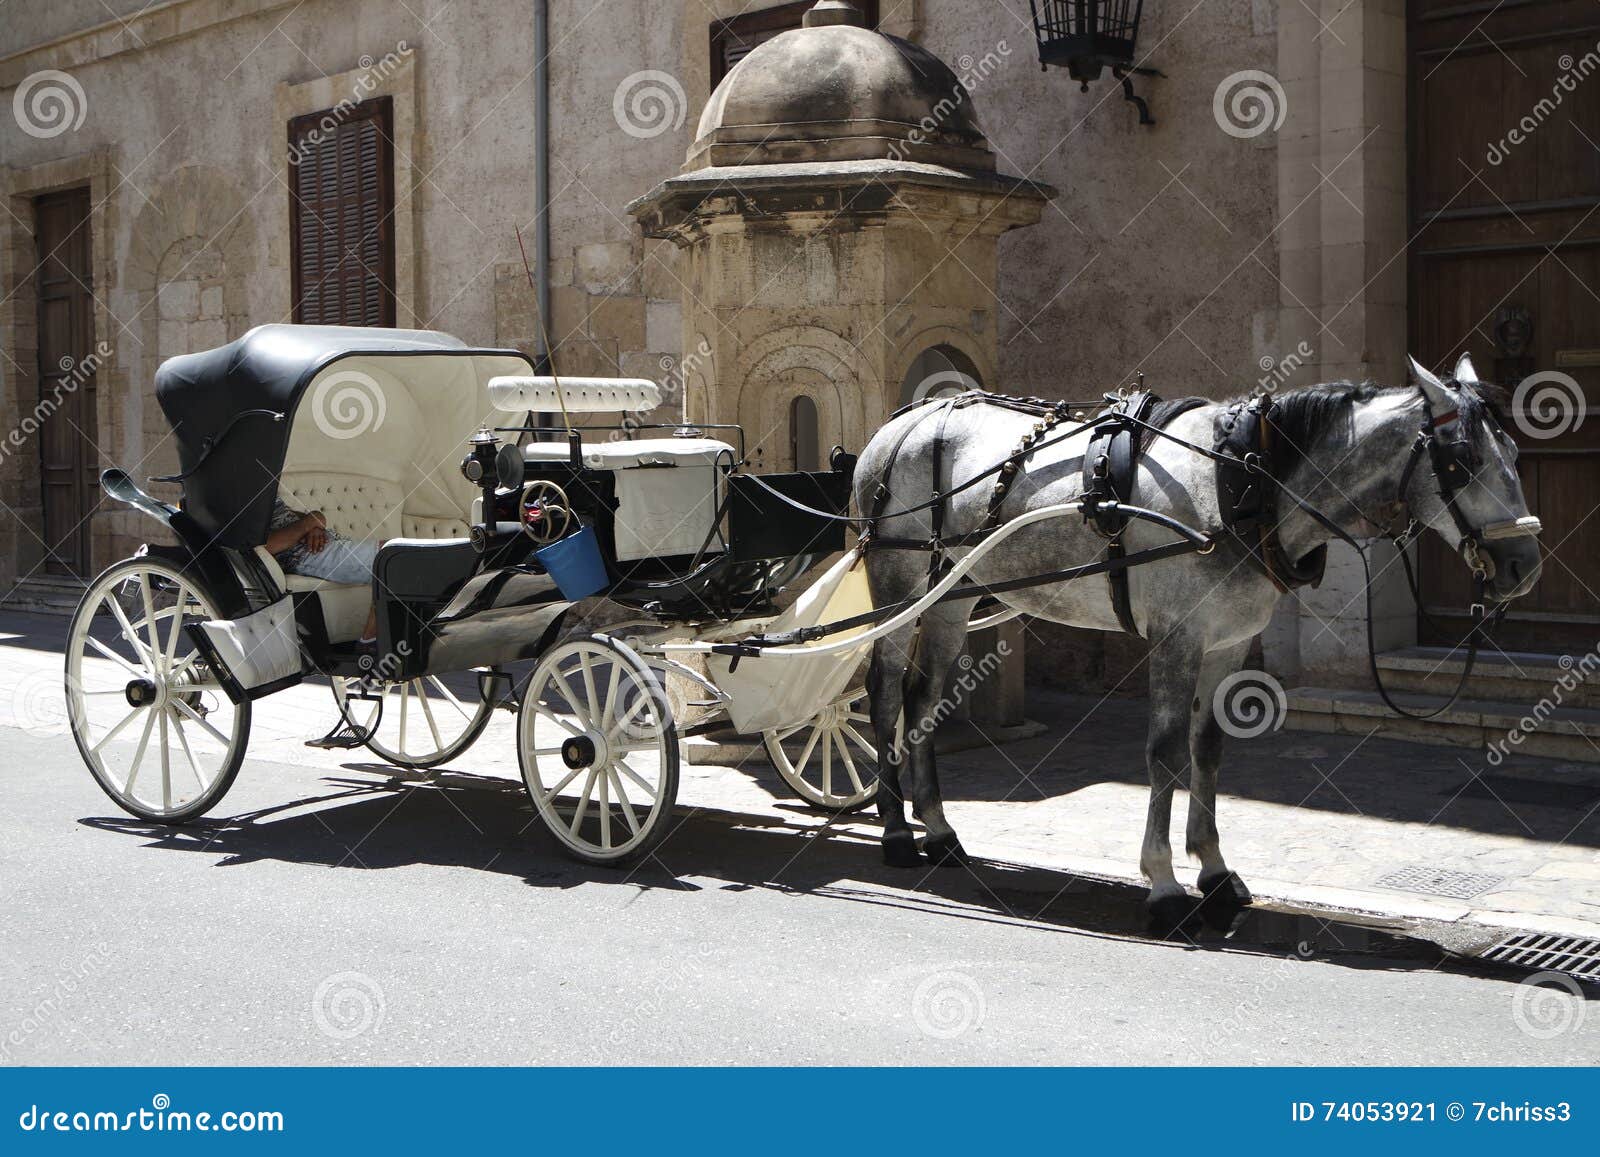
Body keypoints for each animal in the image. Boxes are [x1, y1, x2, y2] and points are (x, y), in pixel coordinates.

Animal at [853, 353, 1541, 930]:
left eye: (1511, 449)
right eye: (1464, 460)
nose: (1524, 566)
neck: (1240, 488)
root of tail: (904, 422)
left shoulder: (1228, 643)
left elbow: (1206, 751)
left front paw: (1213, 872)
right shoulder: (1176, 639)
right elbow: (1164, 751)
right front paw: (1162, 882)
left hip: (952, 598)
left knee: (923, 700)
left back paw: (938, 830)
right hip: (899, 583)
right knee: (885, 694)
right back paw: (895, 832)